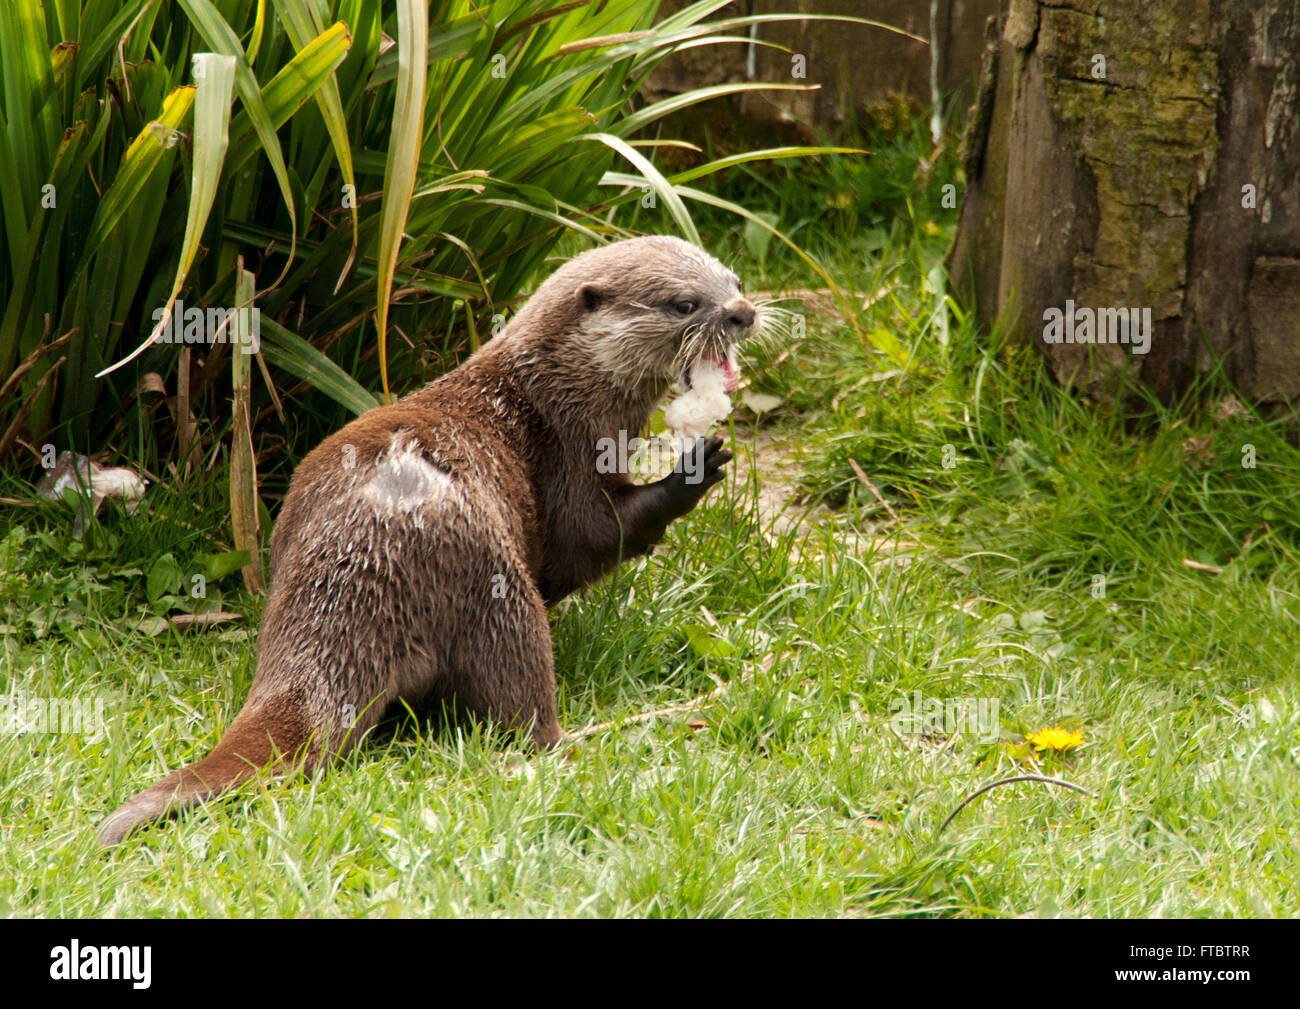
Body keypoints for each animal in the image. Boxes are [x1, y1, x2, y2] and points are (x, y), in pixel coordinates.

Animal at [98, 235, 758, 847]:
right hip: (494, 586)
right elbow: (591, 539)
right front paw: (695, 468)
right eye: (684, 303)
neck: (554, 398)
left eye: (733, 279)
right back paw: (575, 745)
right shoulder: (569, 462)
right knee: (518, 702)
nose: (744, 312)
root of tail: (352, 560)